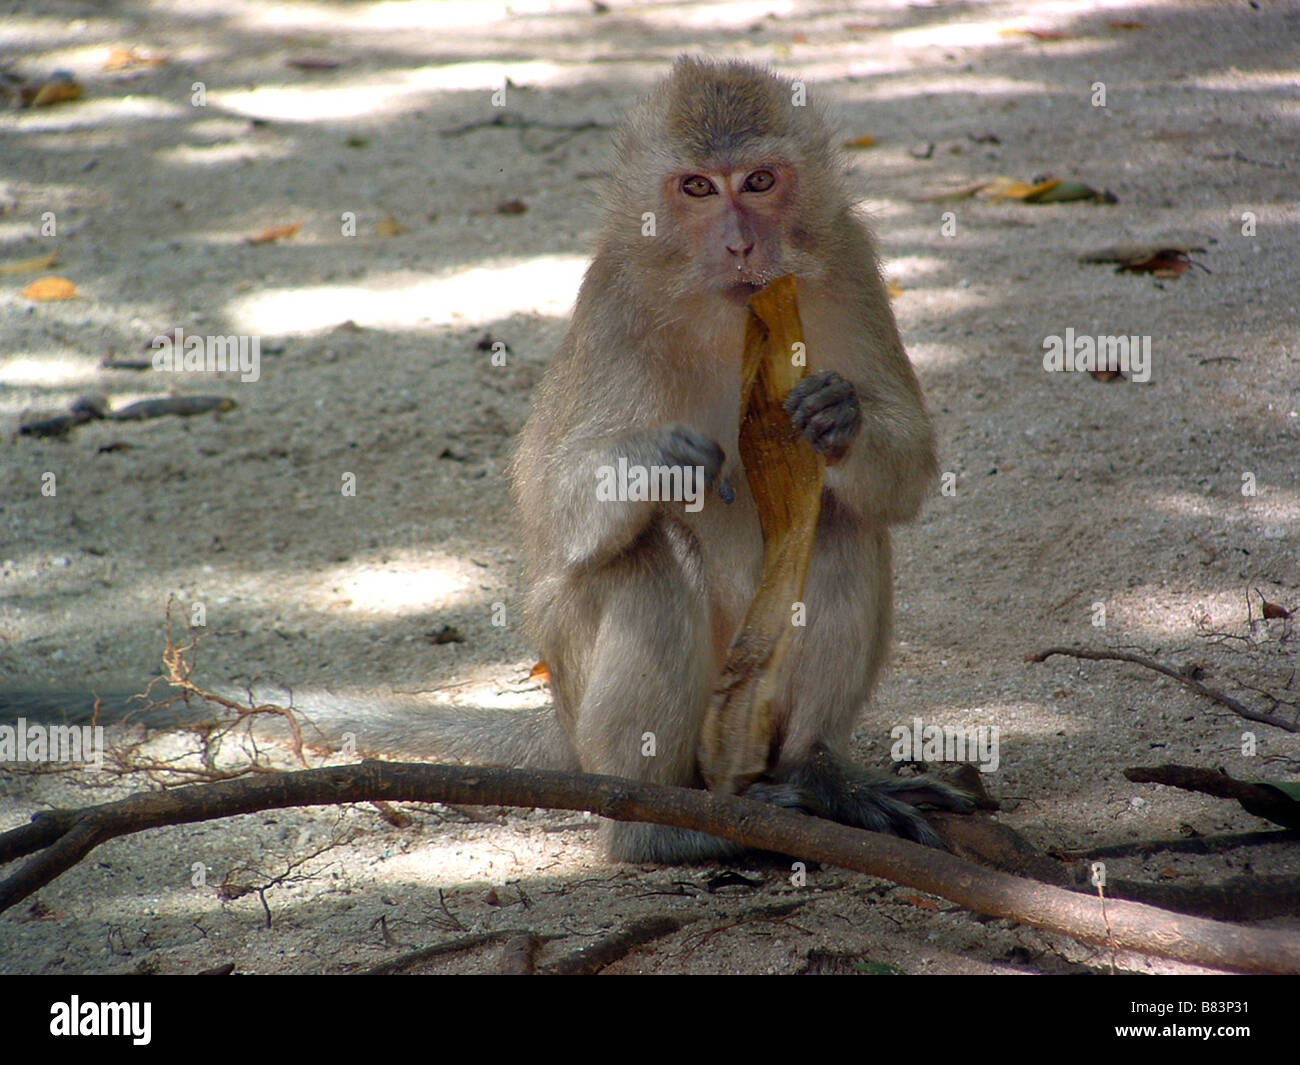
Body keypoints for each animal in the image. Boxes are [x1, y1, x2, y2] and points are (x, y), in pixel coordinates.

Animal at [1, 58, 968, 863]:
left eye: (760, 182)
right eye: (697, 187)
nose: (740, 244)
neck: (729, 311)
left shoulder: (848, 261)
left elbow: (906, 464)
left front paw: (835, 417)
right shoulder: (615, 298)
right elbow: (551, 500)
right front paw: (655, 460)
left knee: (838, 523)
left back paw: (815, 778)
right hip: (591, 703)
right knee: (646, 563)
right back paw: (664, 833)